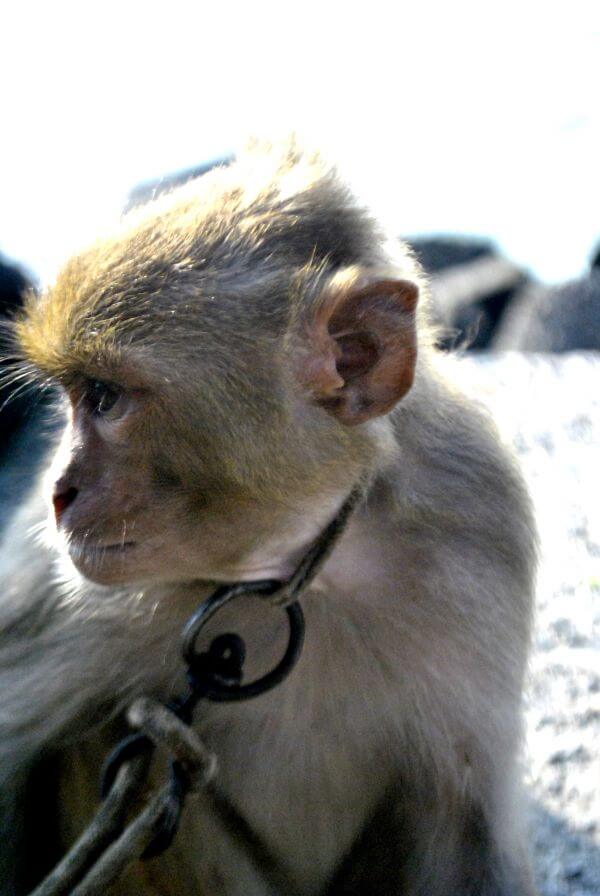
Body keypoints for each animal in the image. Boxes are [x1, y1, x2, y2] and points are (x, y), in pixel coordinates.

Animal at [0, 141, 537, 895]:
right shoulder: (64, 605)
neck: (302, 571)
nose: (57, 491)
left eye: (106, 399)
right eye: (76, 399)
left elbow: (463, 828)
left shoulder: (481, 531)